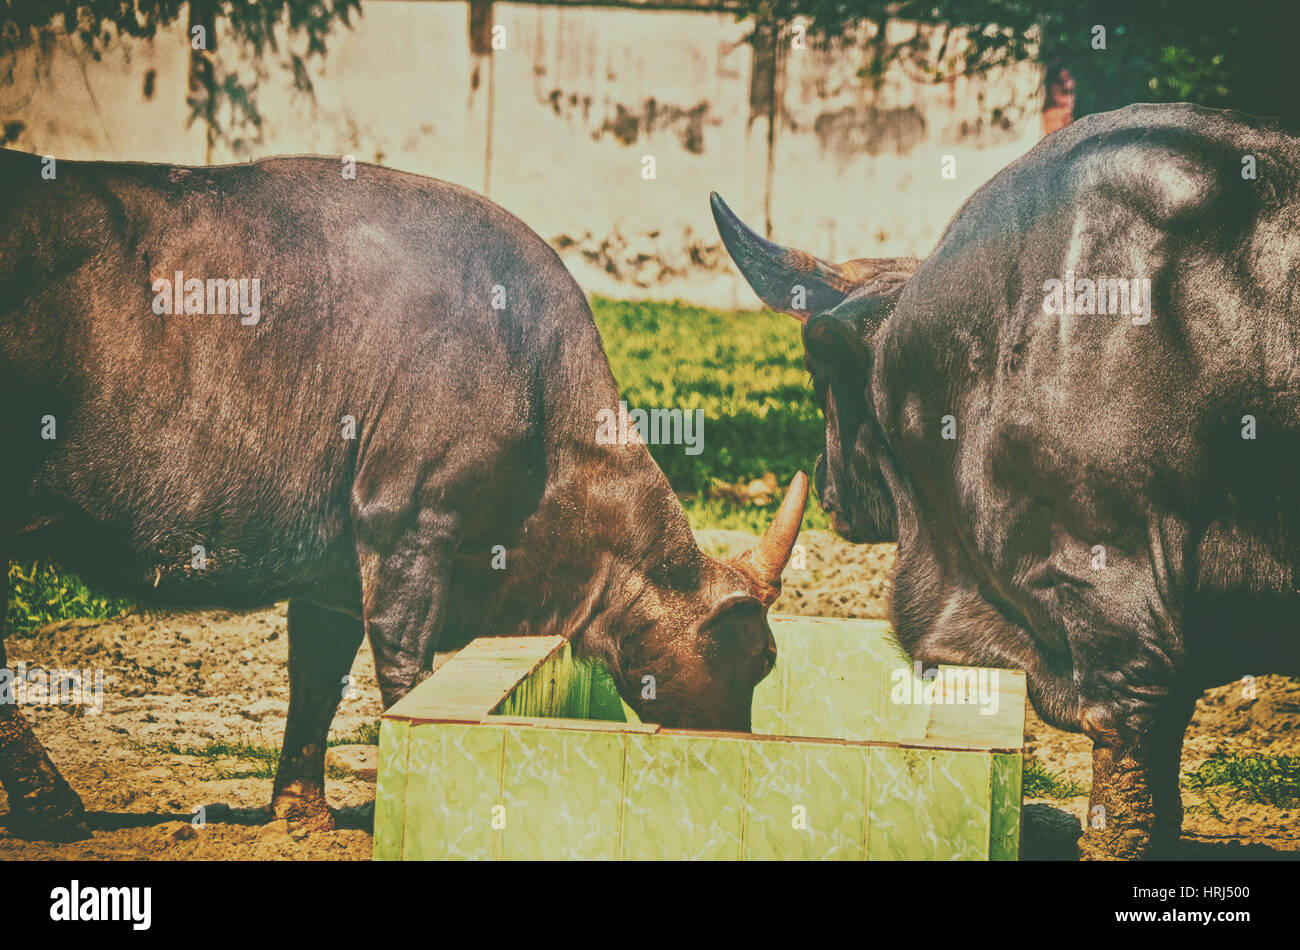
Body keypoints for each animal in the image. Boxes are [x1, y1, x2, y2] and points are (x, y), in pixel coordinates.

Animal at [0, 148, 807, 841]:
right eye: (760, 658)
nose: (738, 750)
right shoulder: (407, 526)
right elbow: (404, 666)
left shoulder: (329, 577)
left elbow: (317, 676)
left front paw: (302, 813)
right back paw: (53, 807)